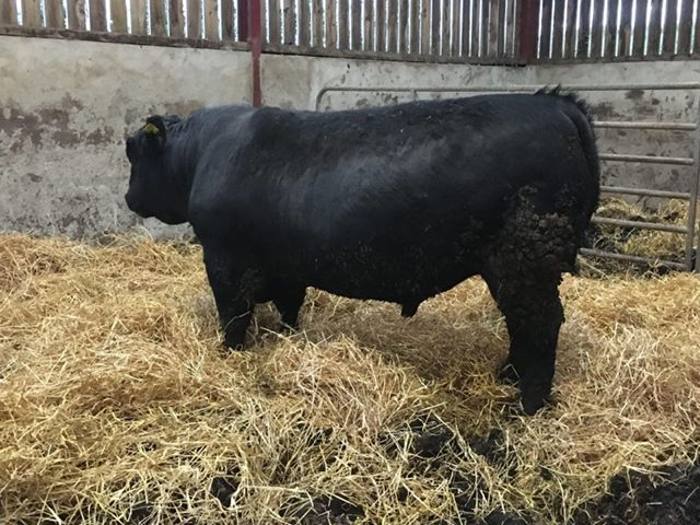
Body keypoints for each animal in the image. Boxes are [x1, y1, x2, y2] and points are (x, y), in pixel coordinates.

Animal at [124, 87, 599, 414]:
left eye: (133, 155)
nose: (129, 198)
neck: (204, 153)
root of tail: (555, 104)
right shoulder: (286, 267)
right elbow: (290, 309)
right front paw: (290, 341)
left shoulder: (224, 259)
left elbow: (233, 316)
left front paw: (230, 355)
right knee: (523, 325)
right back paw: (506, 376)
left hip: (524, 260)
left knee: (538, 324)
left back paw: (527, 403)